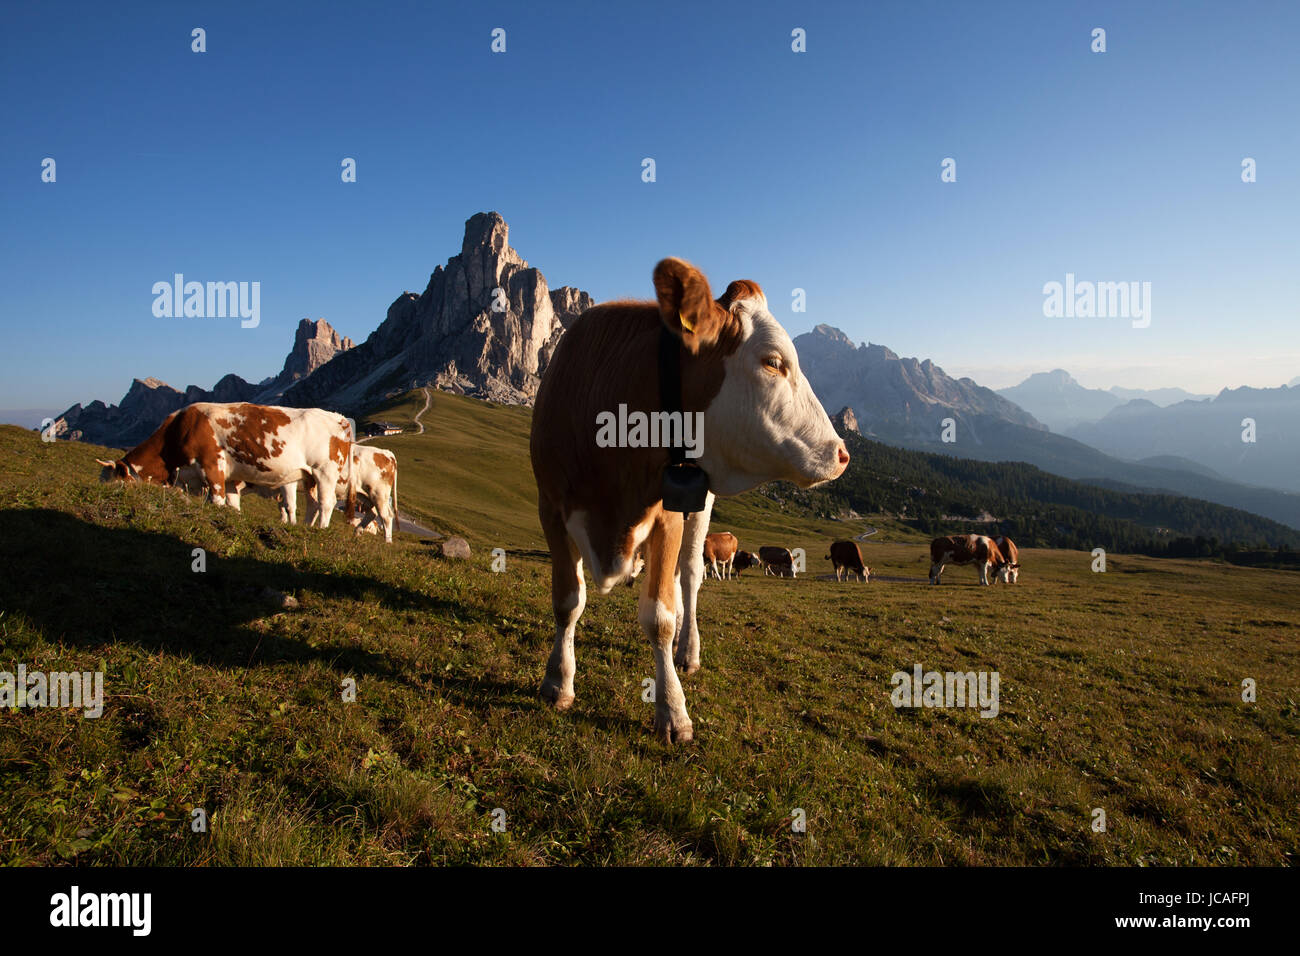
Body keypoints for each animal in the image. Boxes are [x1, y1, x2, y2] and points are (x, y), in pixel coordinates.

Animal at [96, 402, 354, 527]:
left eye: (115, 482)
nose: (102, 497)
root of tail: (338, 417)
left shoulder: (213, 466)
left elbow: (218, 501)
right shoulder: (229, 478)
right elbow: (232, 504)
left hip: (325, 472)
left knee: (326, 503)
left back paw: (320, 529)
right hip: (308, 476)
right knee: (312, 504)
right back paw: (307, 527)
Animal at [530, 258, 849, 743]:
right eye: (774, 362)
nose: (842, 453)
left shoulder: (668, 514)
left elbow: (659, 615)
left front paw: (672, 710)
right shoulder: (550, 507)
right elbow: (568, 599)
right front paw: (557, 681)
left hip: (700, 507)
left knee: (690, 577)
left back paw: (688, 649)